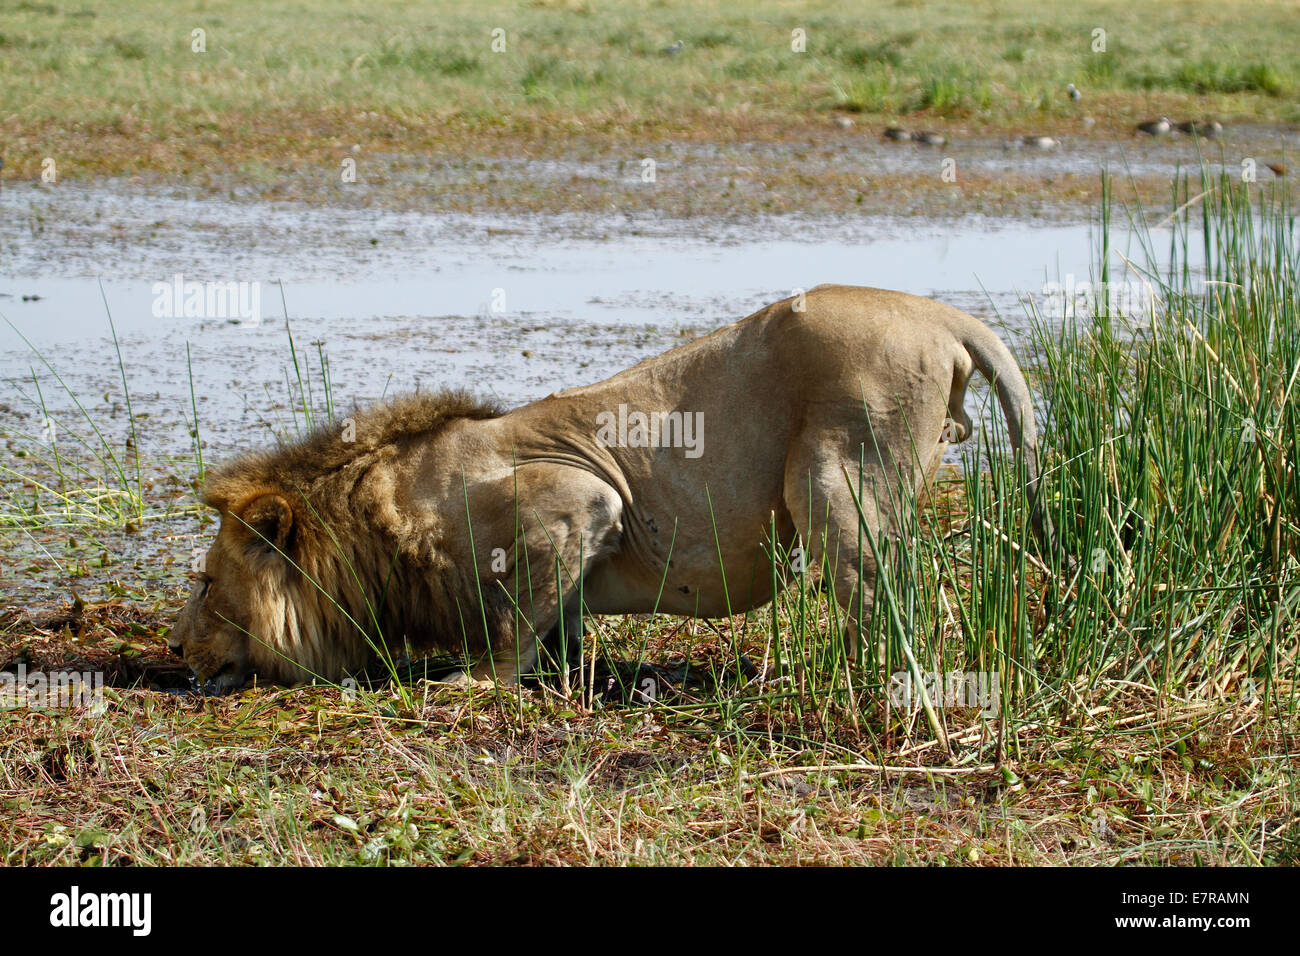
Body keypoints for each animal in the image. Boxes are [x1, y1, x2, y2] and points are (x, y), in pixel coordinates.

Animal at [169, 285, 1047, 692]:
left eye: (207, 583)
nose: (174, 650)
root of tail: (943, 316)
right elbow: (554, 618)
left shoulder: (579, 497)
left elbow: (513, 627)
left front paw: (472, 682)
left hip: (837, 483)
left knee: (893, 603)